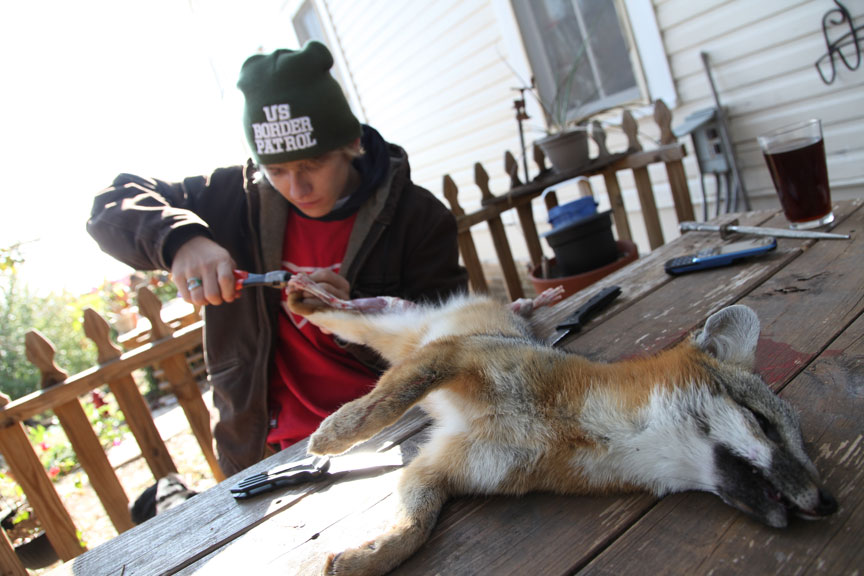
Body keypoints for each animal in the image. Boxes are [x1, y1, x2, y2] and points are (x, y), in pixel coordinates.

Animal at [285, 273, 838, 576]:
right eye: (764, 424)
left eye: (807, 452)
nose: (828, 503)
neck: (564, 426)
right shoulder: (457, 356)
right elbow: (386, 402)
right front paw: (335, 434)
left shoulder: (443, 469)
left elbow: (415, 526)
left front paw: (372, 554)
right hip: (388, 338)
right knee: (339, 313)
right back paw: (303, 294)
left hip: (394, 334)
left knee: (377, 305)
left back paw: (526, 303)